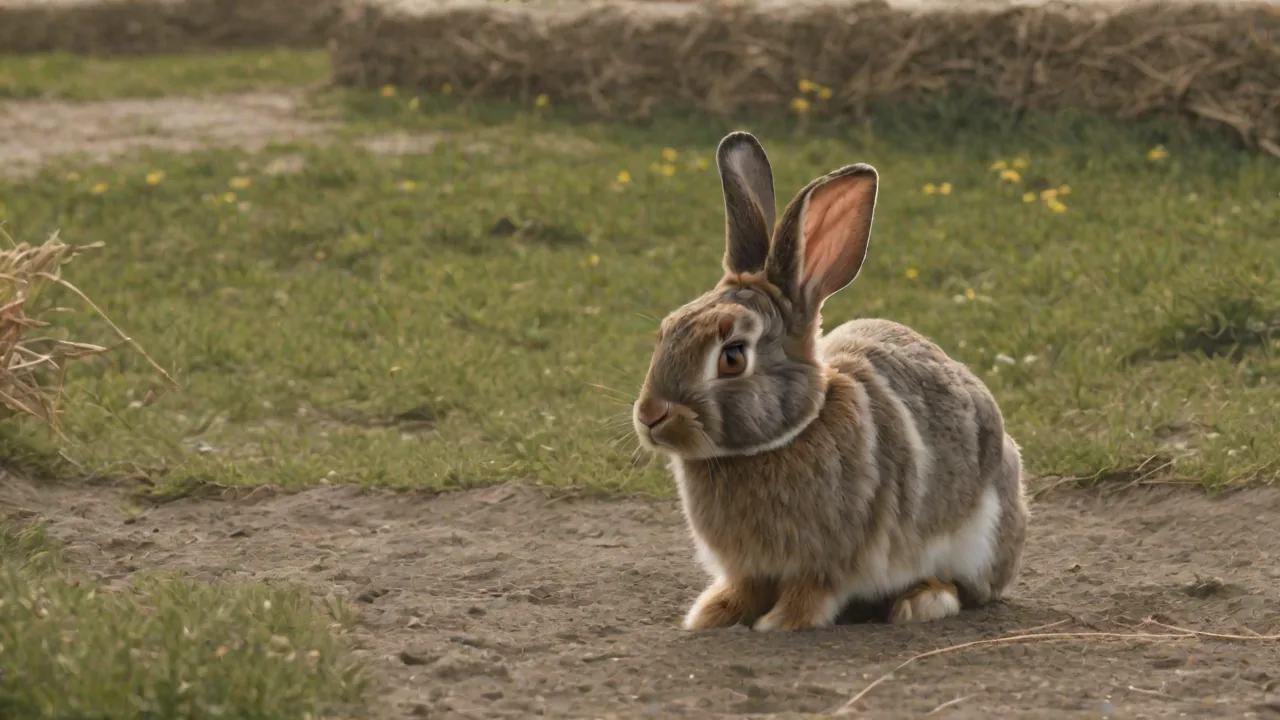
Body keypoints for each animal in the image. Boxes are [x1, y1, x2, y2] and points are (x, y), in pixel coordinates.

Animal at [631, 131, 1029, 631]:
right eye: (668, 329)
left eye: (733, 357)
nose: (650, 416)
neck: (787, 435)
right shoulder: (750, 568)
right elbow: (744, 588)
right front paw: (711, 615)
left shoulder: (833, 561)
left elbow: (813, 592)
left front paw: (781, 622)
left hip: (977, 540)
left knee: (961, 585)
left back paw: (921, 603)